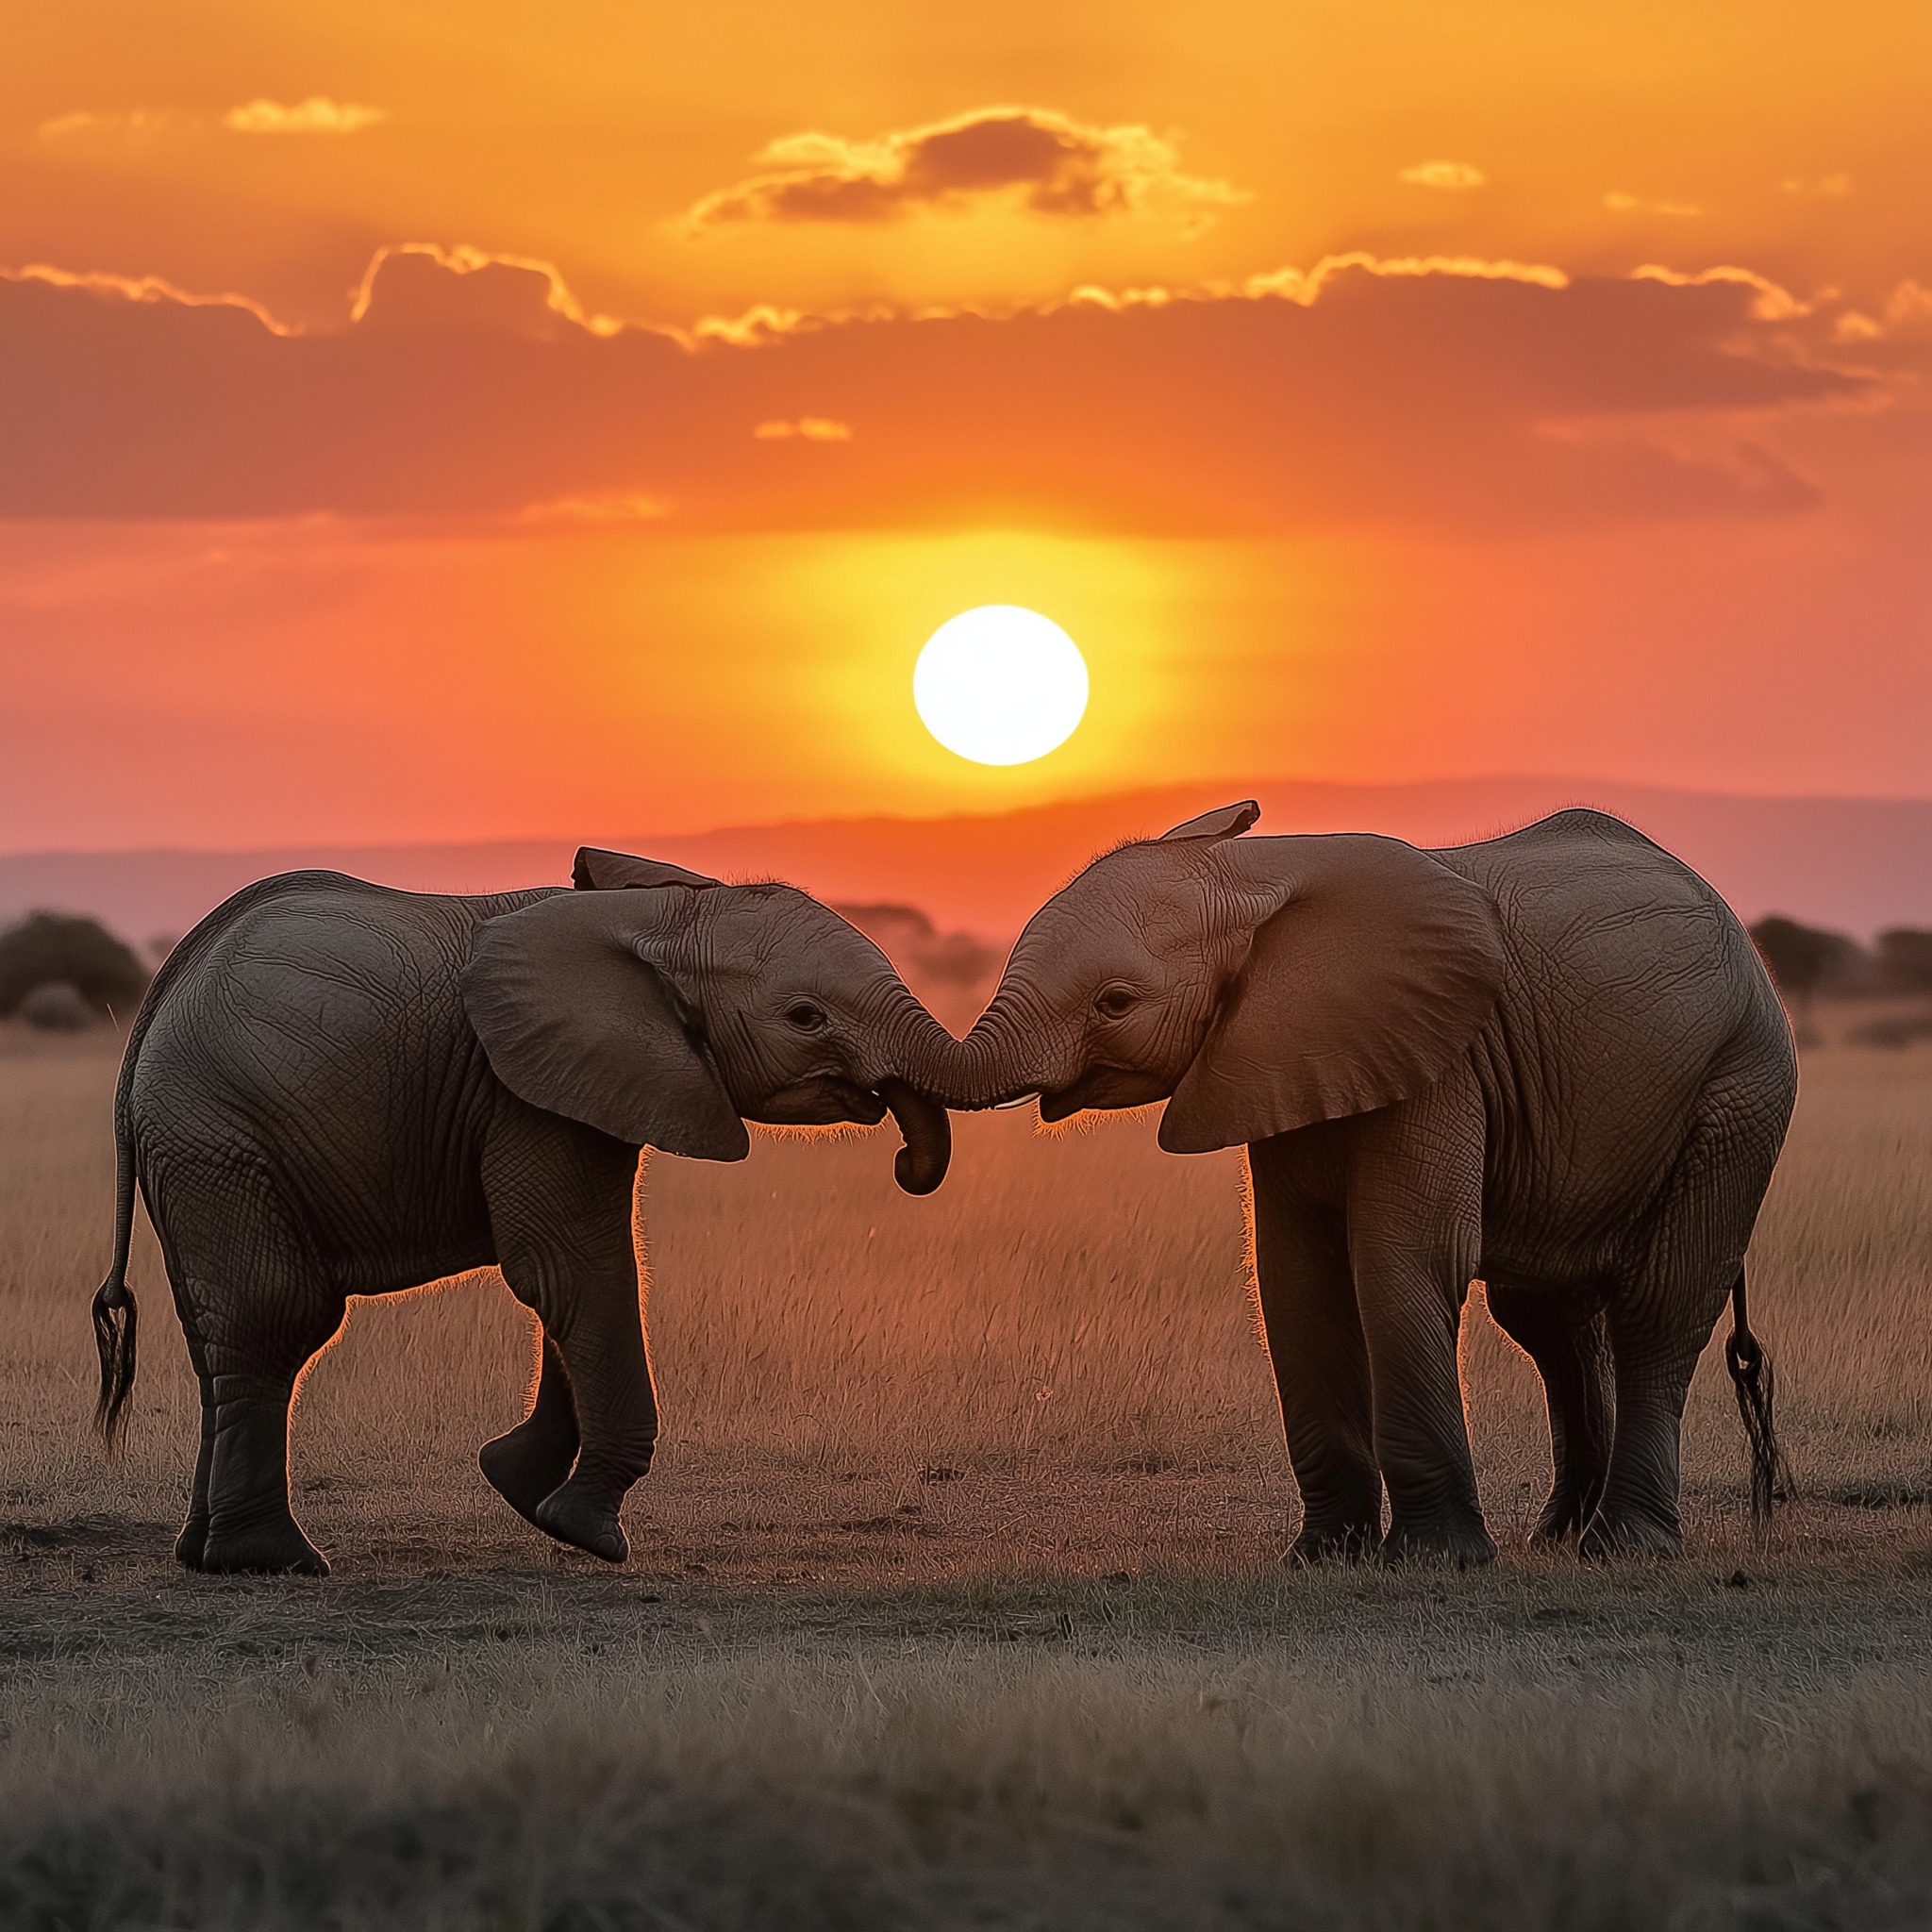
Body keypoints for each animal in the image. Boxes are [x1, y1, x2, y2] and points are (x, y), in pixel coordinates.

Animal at [90, 846, 958, 1575]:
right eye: (806, 1017)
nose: (904, 1161)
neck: (658, 915)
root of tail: (149, 1020)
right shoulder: (527, 1095)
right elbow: (575, 1270)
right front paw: (586, 1531)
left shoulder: (582, 1083)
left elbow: (571, 1278)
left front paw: (514, 1481)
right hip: (221, 1140)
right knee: (278, 1318)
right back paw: (277, 1561)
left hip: (198, 1154)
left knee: (224, 1336)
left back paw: (206, 1556)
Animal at [936, 802, 1796, 1565]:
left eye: (1114, 1002)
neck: (1256, 876)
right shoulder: (1276, 1055)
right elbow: (1295, 1282)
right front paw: (1323, 1557)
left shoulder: (1441, 1062)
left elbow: (1400, 1263)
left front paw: (1434, 1560)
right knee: (1549, 1318)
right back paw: (1556, 1538)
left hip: (1739, 1090)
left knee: (1659, 1306)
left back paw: (1622, 1547)